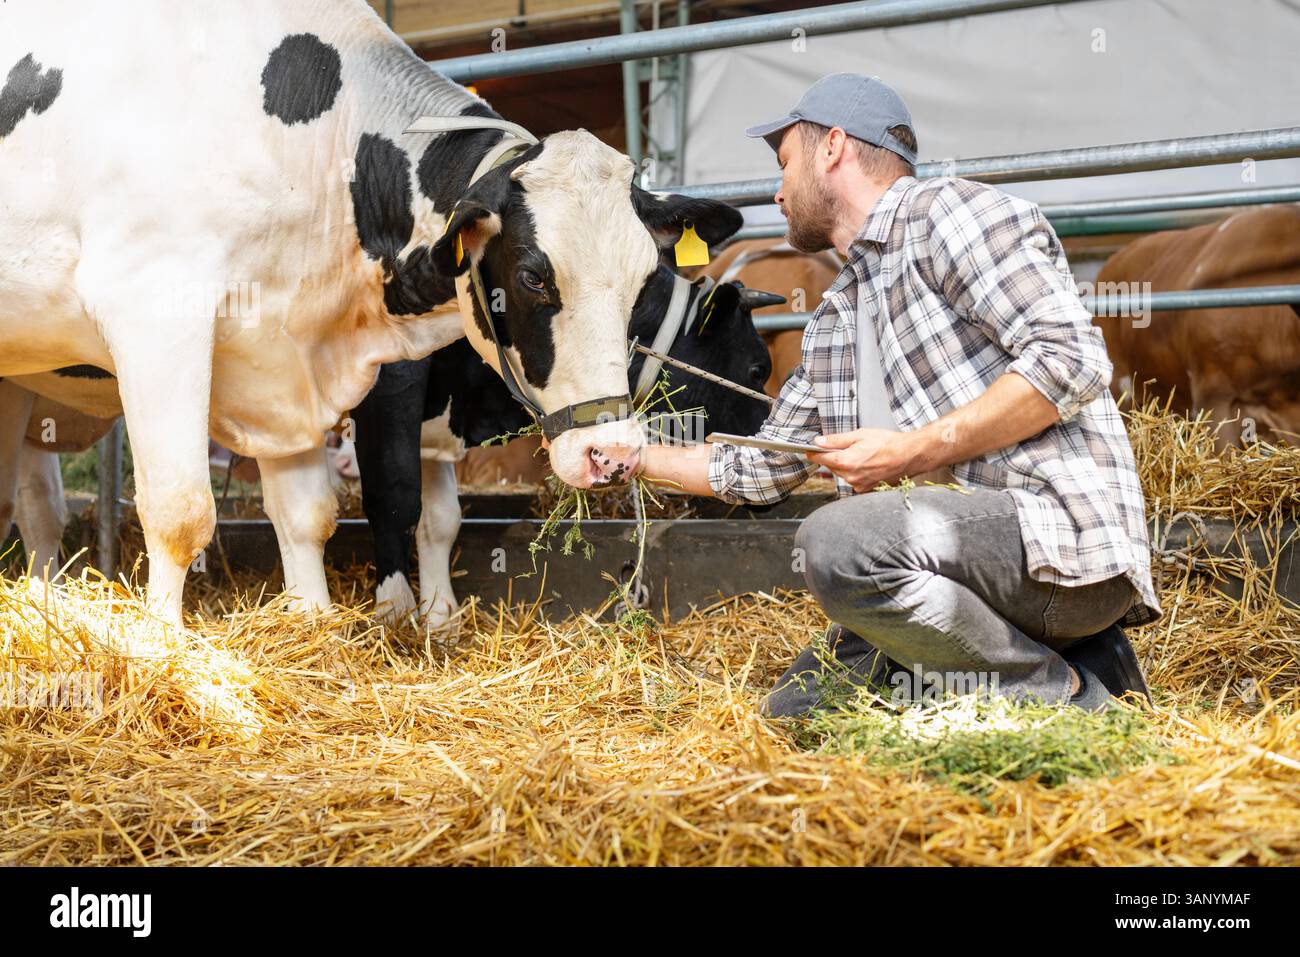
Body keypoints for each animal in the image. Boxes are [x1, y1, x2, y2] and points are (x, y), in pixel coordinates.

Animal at [0, 0, 740, 624]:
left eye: (643, 280)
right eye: (533, 276)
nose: (612, 453)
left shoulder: (280, 349)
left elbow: (311, 514)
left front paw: (314, 622)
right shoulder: (155, 304)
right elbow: (181, 510)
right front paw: (165, 649)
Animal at [354, 268, 782, 628]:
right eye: (757, 368)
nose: (772, 449)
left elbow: (440, 519)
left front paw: (442, 621)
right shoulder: (392, 378)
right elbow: (395, 500)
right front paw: (394, 619)